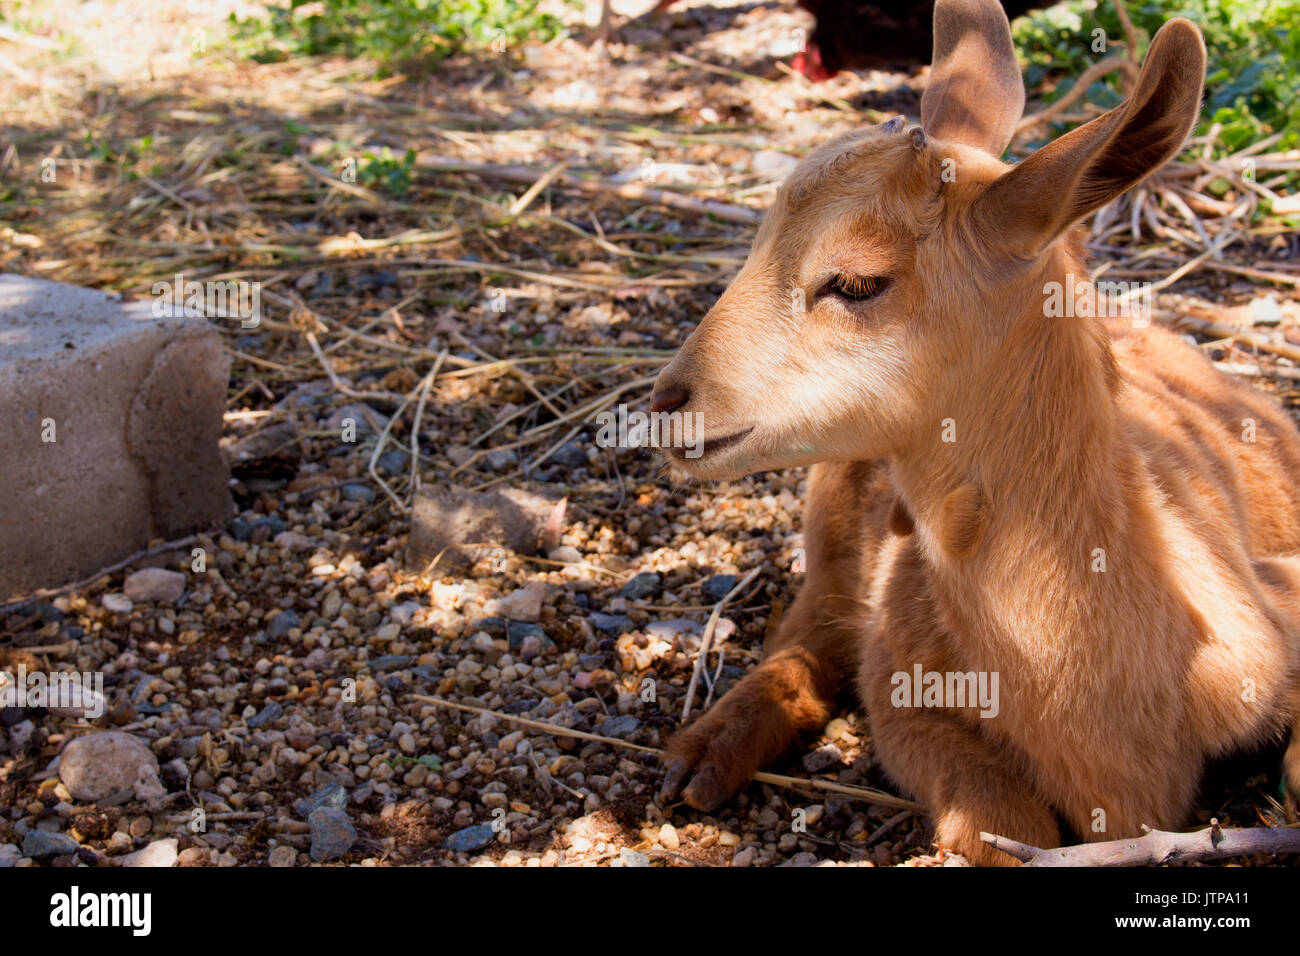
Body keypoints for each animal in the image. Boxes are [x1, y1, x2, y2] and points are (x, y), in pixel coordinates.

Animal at [650, 0, 1300, 865]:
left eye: (857, 282)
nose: (668, 401)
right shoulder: (903, 690)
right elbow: (1001, 823)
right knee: (806, 632)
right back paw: (702, 754)